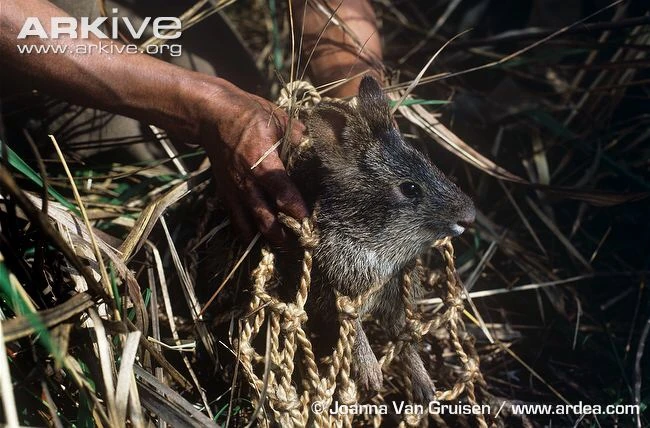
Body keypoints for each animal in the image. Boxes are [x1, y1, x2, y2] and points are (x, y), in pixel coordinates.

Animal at [288, 76, 476, 403]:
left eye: (431, 164)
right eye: (409, 188)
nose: (470, 215)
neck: (377, 246)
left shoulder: (396, 302)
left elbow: (406, 340)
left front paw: (425, 386)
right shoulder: (336, 293)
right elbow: (354, 329)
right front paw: (372, 375)